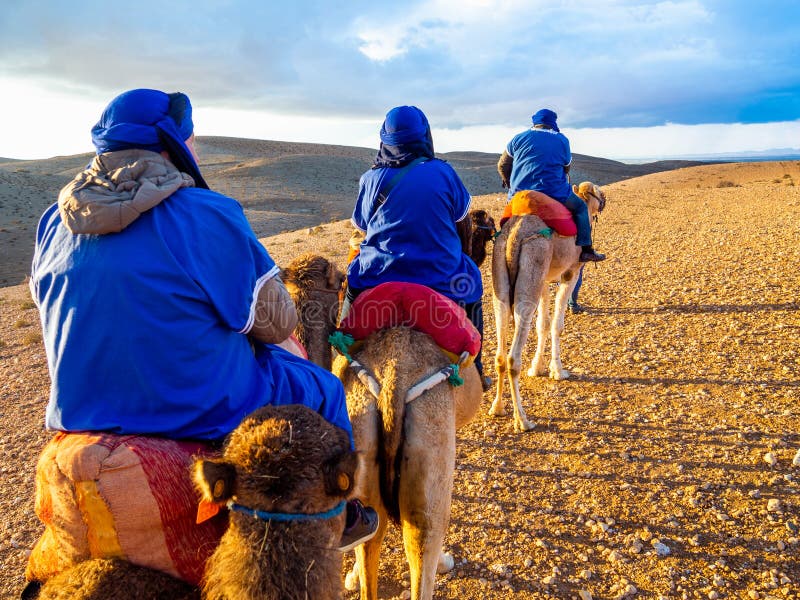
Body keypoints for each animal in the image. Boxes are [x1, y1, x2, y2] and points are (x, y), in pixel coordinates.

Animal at [489, 182, 607, 432]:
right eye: (596, 192)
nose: (604, 199)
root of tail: (514, 236)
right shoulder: (570, 272)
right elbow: (556, 325)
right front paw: (558, 370)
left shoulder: (543, 281)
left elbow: (542, 324)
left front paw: (537, 368)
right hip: (532, 265)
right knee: (512, 358)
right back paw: (523, 420)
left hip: (500, 285)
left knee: (500, 354)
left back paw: (497, 408)